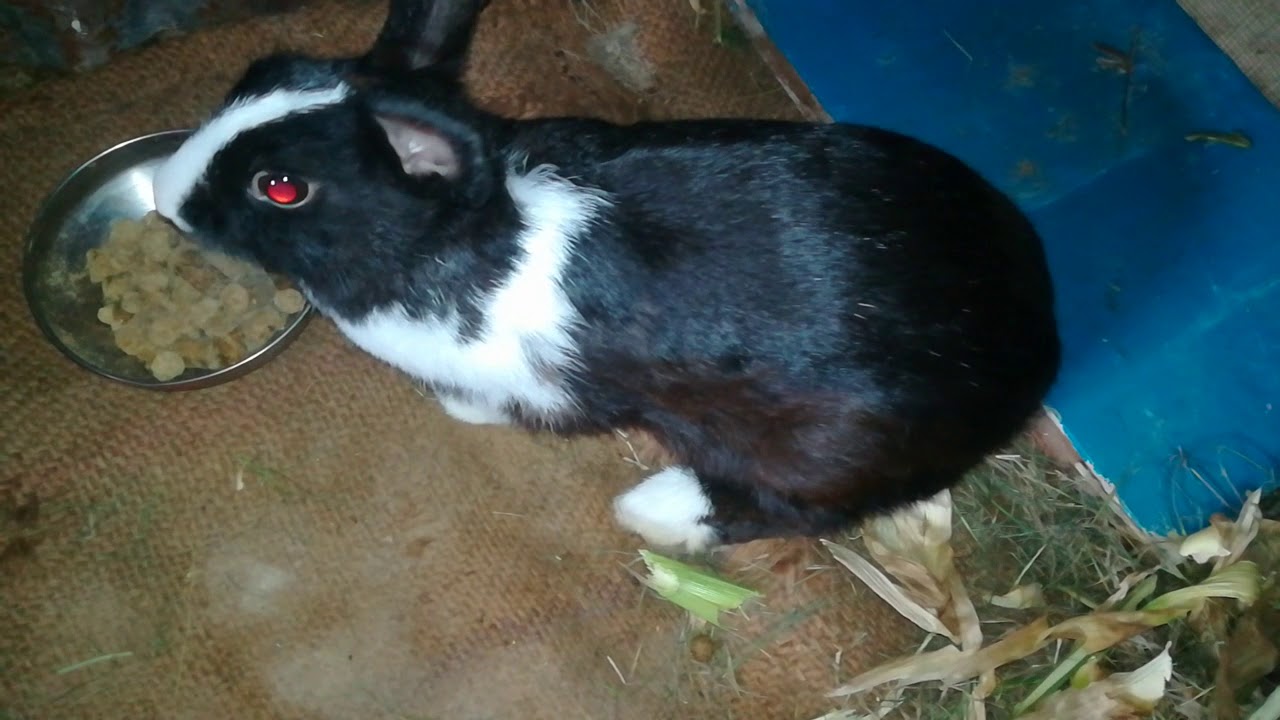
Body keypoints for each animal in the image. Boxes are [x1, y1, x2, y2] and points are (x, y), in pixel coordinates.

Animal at [151, 0, 1062, 554]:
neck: (452, 241)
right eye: (261, 70)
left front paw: (458, 410)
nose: (166, 198)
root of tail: (1034, 354)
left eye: (281, 187)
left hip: (819, 449)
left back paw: (656, 512)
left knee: (790, 509)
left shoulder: (536, 385)